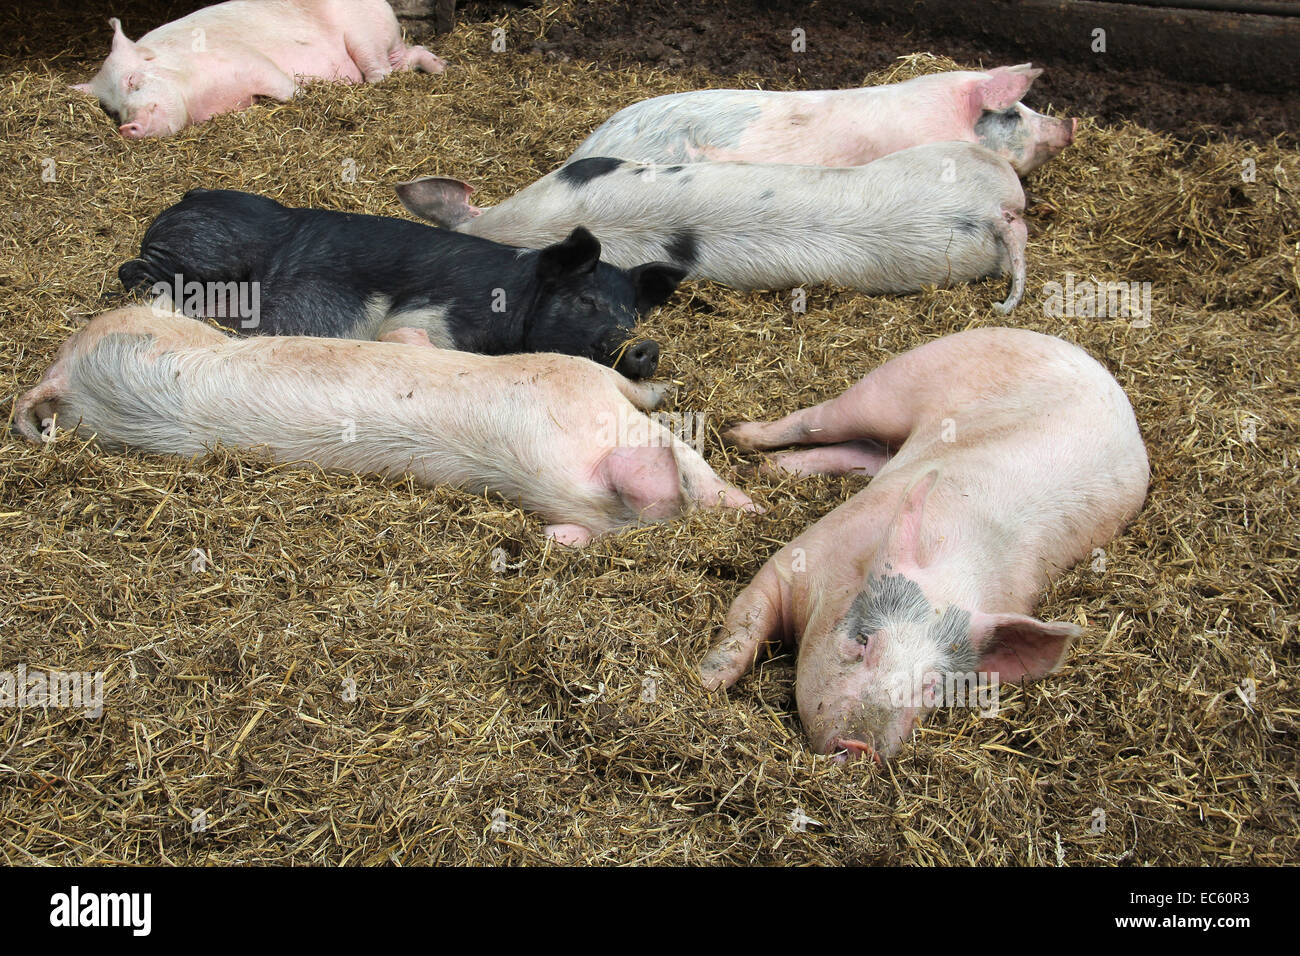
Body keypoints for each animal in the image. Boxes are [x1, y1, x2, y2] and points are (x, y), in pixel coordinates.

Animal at [13, 307, 755, 545]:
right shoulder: (576, 381)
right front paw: (667, 388)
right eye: (688, 476)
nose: (745, 511)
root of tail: (60, 371)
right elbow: (638, 392)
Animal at [72, 1, 445, 139]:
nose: (127, 127)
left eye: (132, 80)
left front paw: (304, 95)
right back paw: (441, 67)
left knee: (381, 72)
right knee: (408, 56)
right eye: (111, 109)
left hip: (362, 37)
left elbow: (283, 88)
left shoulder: (244, 60)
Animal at [119, 189, 685, 380]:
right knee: (135, 271)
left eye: (634, 313)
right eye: (586, 300)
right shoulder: (431, 315)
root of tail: (187, 197)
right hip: (207, 251)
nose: (646, 345)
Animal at [699, 328, 1149, 760]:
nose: (861, 747)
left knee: (863, 453)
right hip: (893, 386)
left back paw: (767, 468)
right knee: (815, 420)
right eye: (863, 642)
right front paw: (704, 683)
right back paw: (739, 441)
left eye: (932, 685)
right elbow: (743, 631)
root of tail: (1075, 352)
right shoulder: (794, 559)